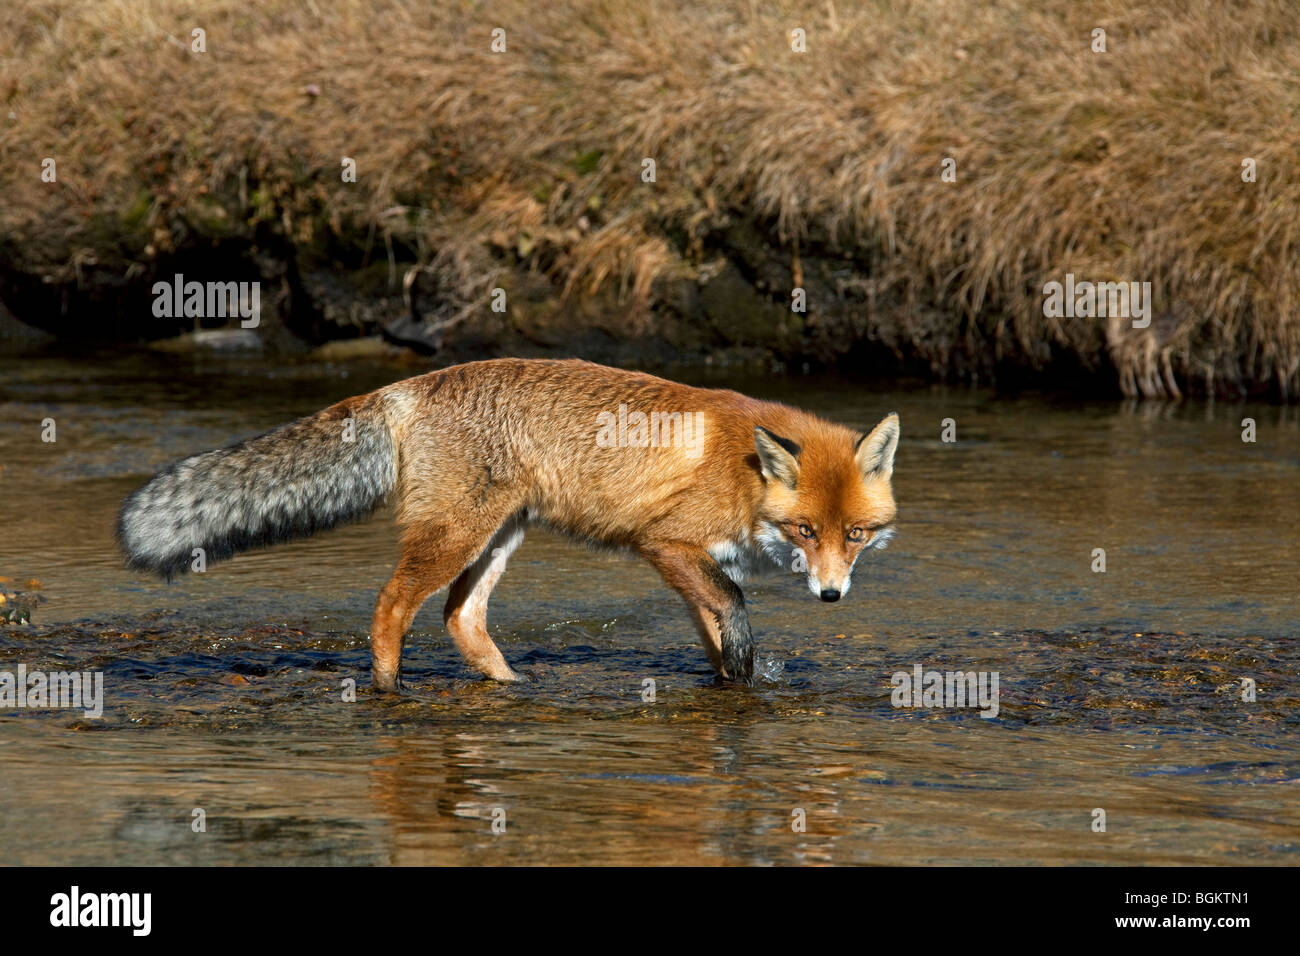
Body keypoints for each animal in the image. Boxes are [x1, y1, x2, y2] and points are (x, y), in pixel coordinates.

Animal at [117, 358, 899, 691]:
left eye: (855, 536)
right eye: (805, 532)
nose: (831, 595)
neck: (742, 471)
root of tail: (411, 384)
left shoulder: (691, 564)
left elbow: (716, 637)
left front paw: (735, 682)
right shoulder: (664, 542)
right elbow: (733, 607)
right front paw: (743, 661)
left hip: (499, 537)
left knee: (461, 618)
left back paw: (510, 684)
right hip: (457, 536)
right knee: (391, 608)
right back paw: (388, 690)